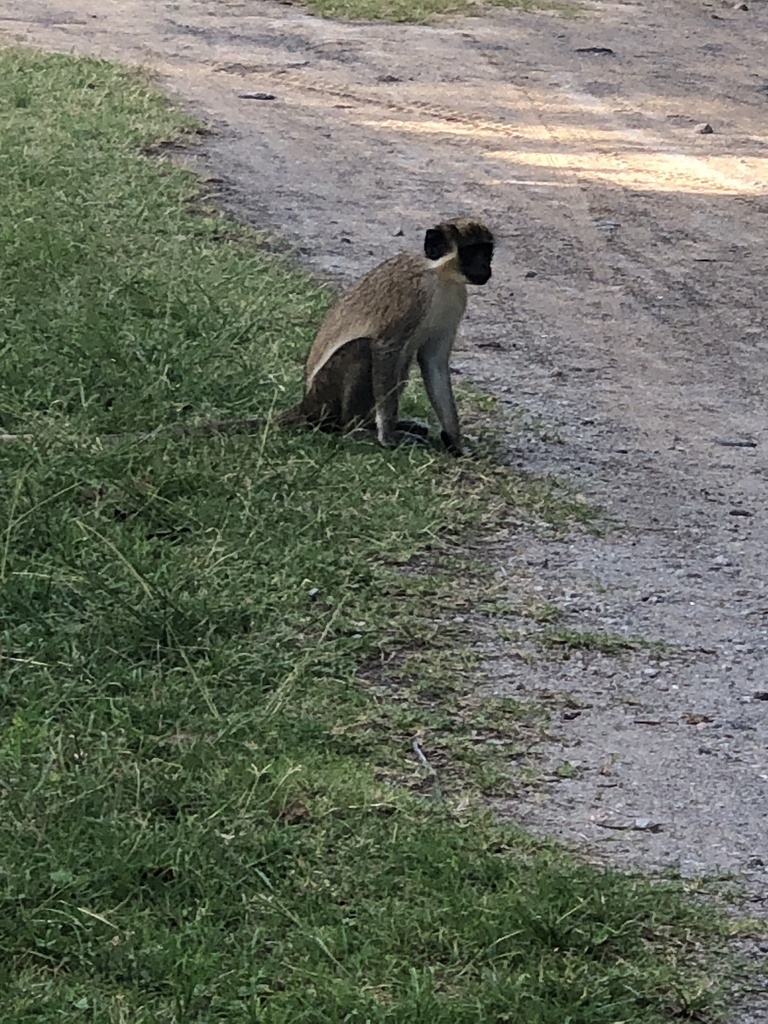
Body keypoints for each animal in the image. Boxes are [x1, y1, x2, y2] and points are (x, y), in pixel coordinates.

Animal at [0, 218, 493, 454]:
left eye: (487, 252)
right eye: (473, 251)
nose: (485, 270)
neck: (441, 276)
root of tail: (307, 403)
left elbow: (432, 363)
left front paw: (455, 442)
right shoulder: (411, 295)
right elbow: (387, 348)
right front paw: (387, 436)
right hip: (329, 391)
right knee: (362, 353)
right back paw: (354, 430)